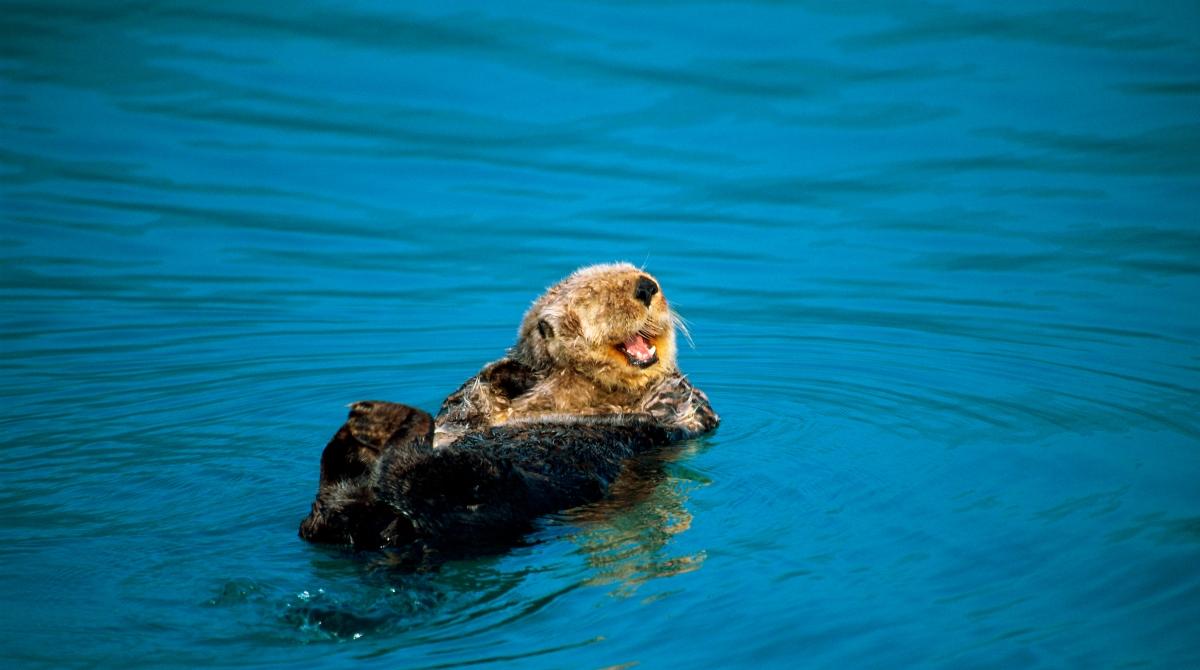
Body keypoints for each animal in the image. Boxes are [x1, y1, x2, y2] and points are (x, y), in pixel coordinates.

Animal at [299, 263, 718, 559]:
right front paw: (508, 373)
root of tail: (387, 527)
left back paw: (386, 422)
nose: (646, 286)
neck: (577, 391)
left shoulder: (686, 413)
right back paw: (363, 434)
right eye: (594, 293)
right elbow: (470, 398)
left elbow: (682, 405)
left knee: (414, 475)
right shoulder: (472, 407)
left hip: (493, 488)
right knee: (325, 508)